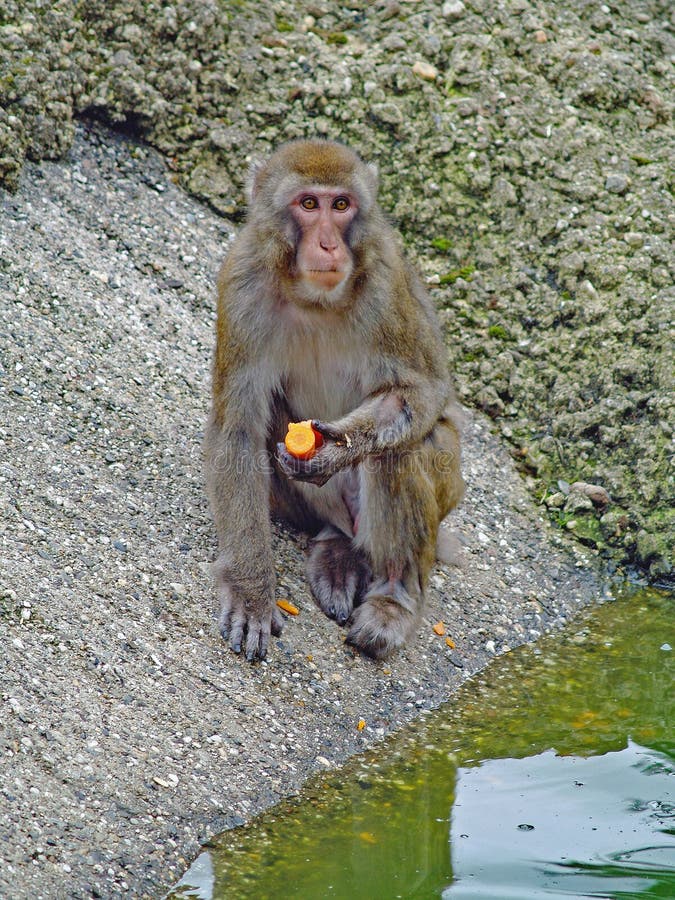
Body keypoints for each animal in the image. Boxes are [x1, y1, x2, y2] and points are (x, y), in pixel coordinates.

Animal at [204, 139, 464, 662]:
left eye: (340, 205)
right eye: (309, 204)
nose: (328, 245)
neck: (314, 299)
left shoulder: (386, 278)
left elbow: (420, 392)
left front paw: (333, 450)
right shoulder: (241, 282)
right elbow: (238, 430)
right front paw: (251, 592)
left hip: (448, 488)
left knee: (398, 448)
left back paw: (393, 598)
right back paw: (340, 550)